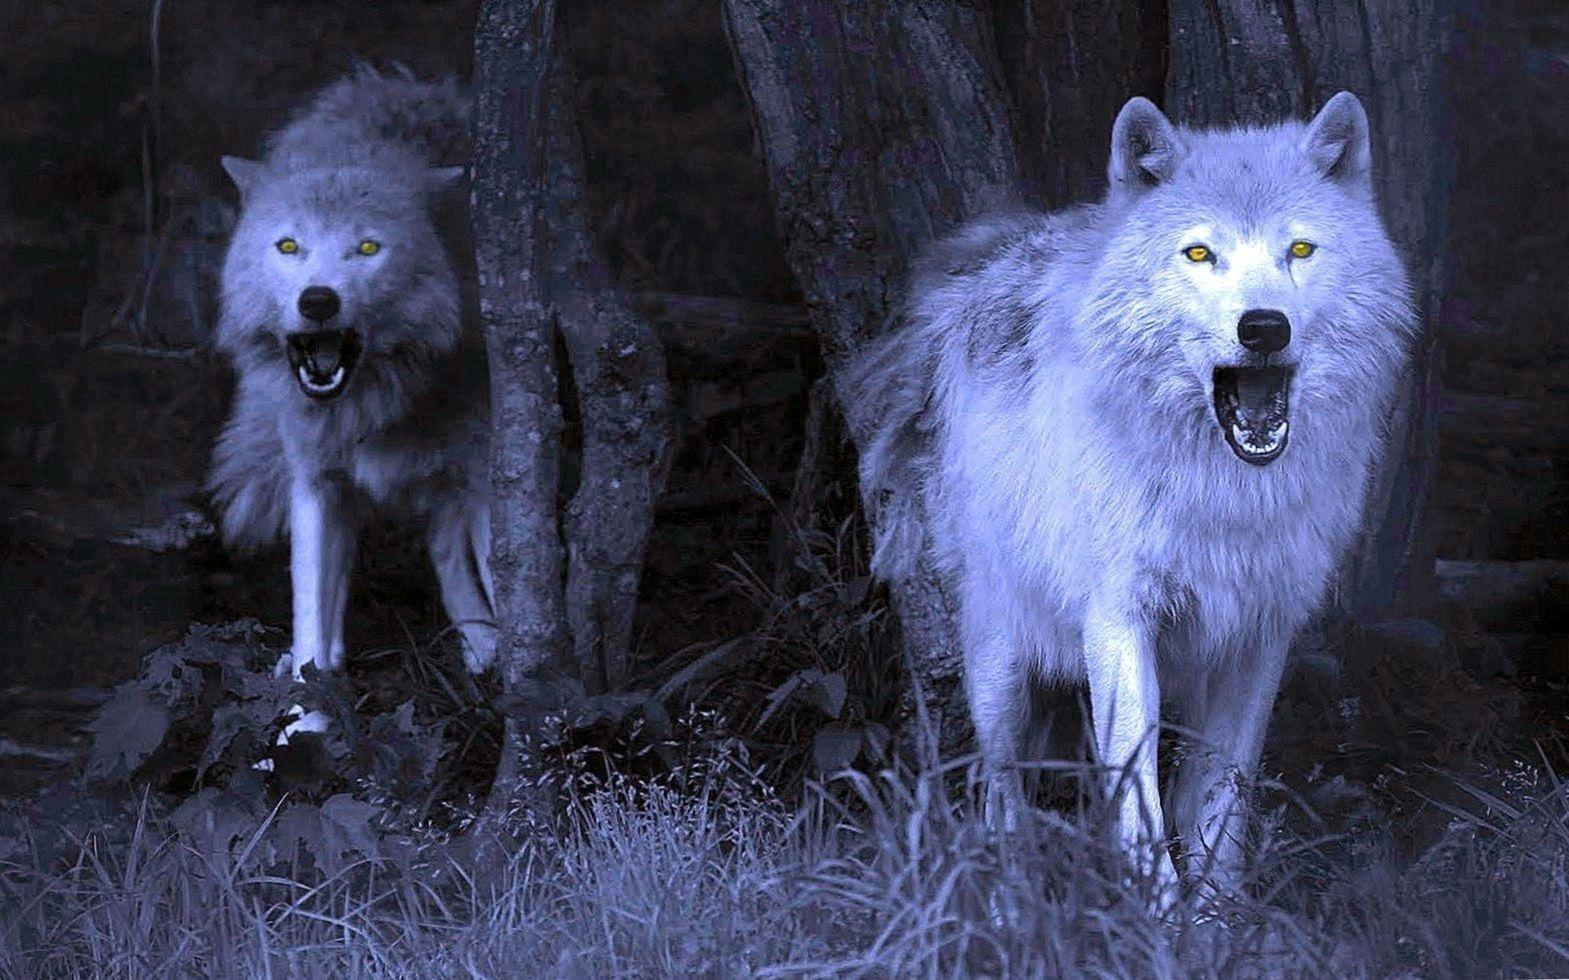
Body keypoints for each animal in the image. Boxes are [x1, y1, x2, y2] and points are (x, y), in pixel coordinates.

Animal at [208, 67, 497, 687]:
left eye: (367, 247)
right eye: (289, 245)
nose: (318, 301)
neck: (375, 405)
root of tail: (398, 87)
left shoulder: (488, 477)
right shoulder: (315, 484)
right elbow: (311, 615)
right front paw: (303, 706)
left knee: (447, 547)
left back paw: (480, 644)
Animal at [841, 92, 1415, 893]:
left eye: (1298, 251)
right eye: (1199, 254)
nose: (1263, 327)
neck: (1222, 493)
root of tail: (1004, 249)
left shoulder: (1260, 634)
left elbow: (1219, 803)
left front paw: (1216, 913)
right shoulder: (1117, 619)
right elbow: (1139, 806)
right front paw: (1160, 914)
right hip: (999, 655)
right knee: (999, 789)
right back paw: (1011, 893)